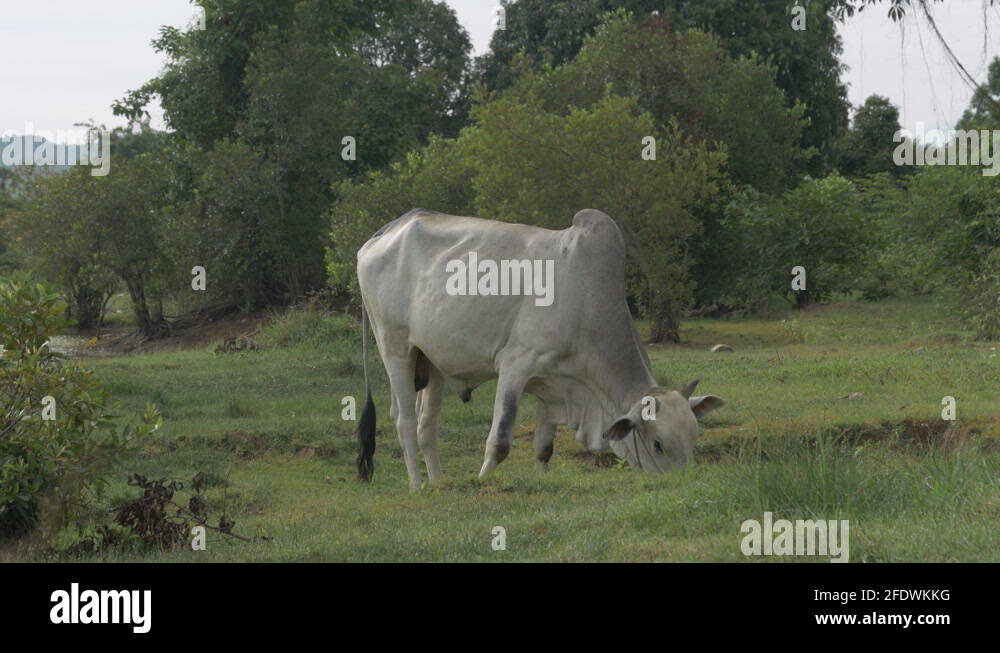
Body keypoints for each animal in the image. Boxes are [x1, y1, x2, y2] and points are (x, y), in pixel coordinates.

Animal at [355, 208, 724, 489]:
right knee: (404, 421)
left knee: (425, 424)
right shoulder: (515, 366)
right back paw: (417, 486)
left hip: (431, 361)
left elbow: (544, 448)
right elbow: (500, 442)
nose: (685, 483)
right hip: (395, 347)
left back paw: (438, 483)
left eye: (694, 436)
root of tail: (389, 228)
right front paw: (481, 481)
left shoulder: (552, 384)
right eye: (658, 444)